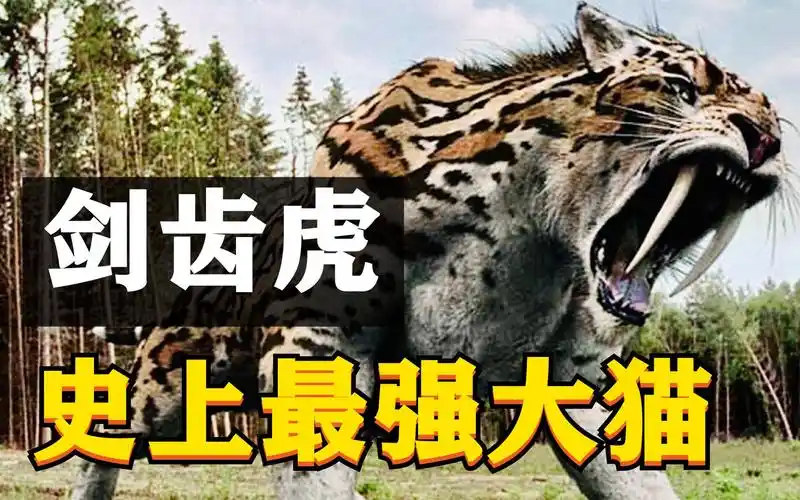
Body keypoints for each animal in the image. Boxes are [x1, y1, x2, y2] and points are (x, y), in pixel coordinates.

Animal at [69, 3, 791, 499]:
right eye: (685, 87)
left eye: (771, 113)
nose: (766, 141)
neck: (531, 232)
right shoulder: (319, 341)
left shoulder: (576, 377)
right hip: (162, 380)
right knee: (105, 436)